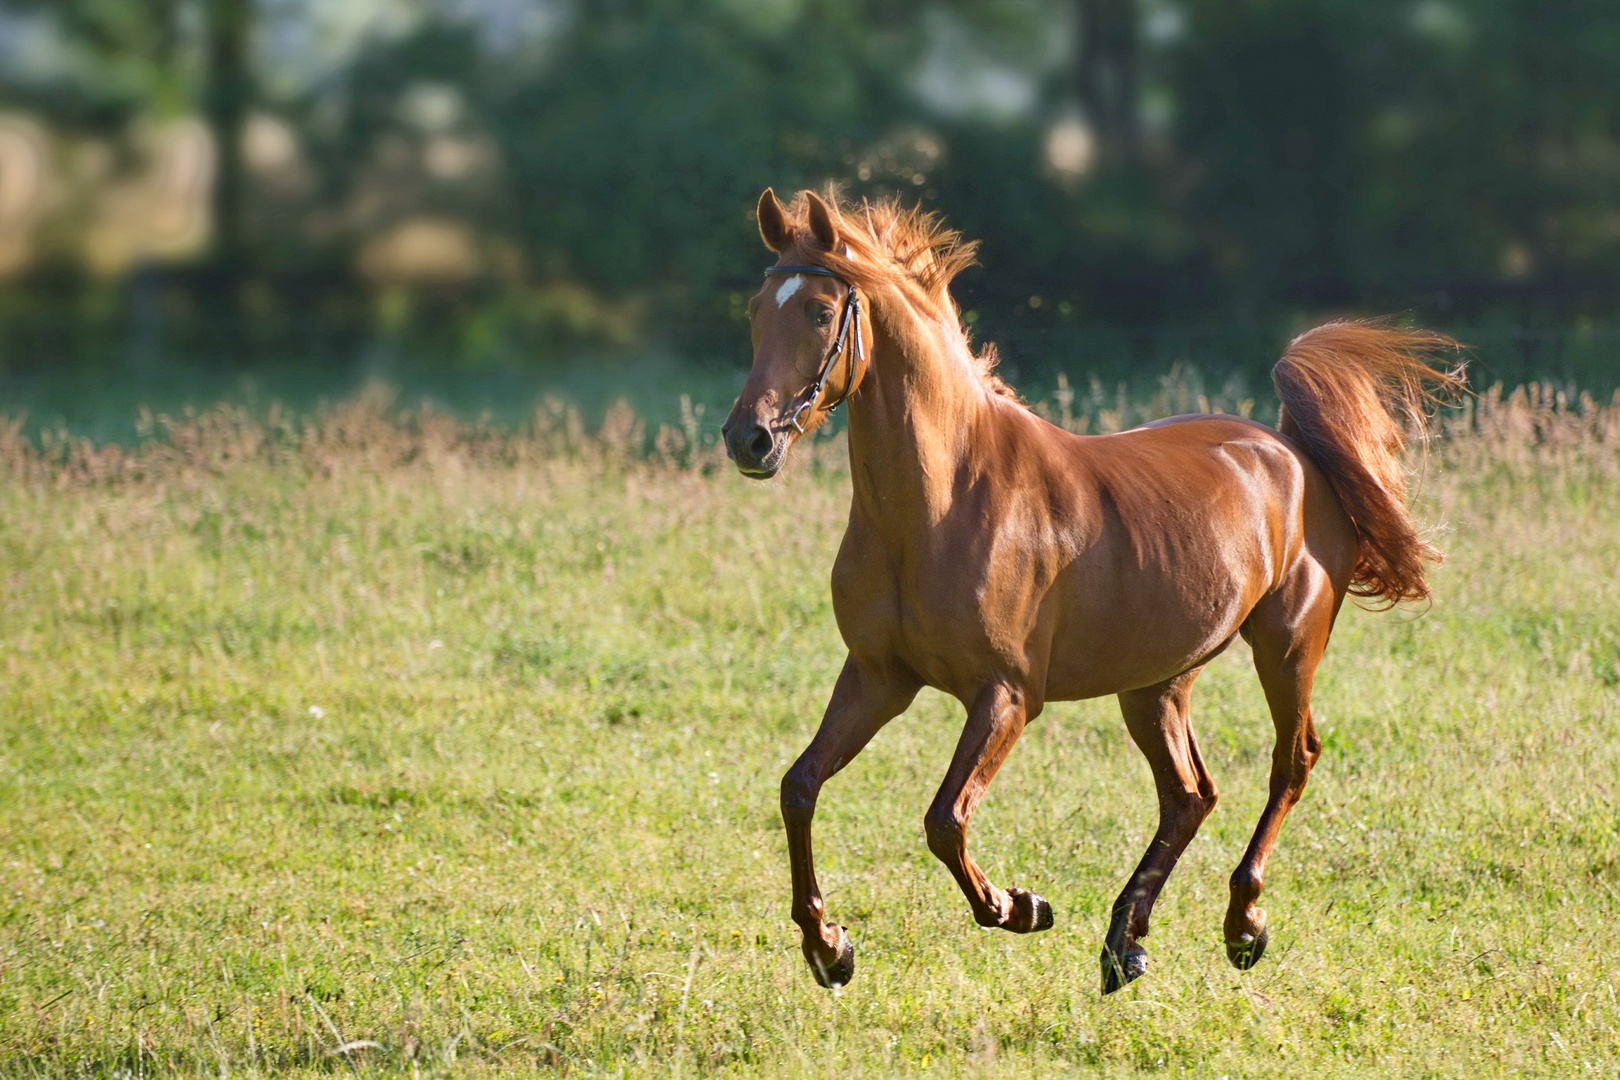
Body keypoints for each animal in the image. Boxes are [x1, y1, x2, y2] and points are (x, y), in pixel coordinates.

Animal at [722, 187, 1470, 997]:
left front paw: (1018, 906)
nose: (749, 439)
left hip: (1287, 646)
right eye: (757, 308)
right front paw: (829, 948)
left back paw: (1242, 925)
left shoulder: (1008, 694)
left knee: (1290, 762)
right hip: (1157, 682)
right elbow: (799, 786)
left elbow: (944, 818)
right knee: (1189, 795)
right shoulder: (878, 677)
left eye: (821, 311)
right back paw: (1124, 943)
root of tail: (1294, 450)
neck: (941, 503)